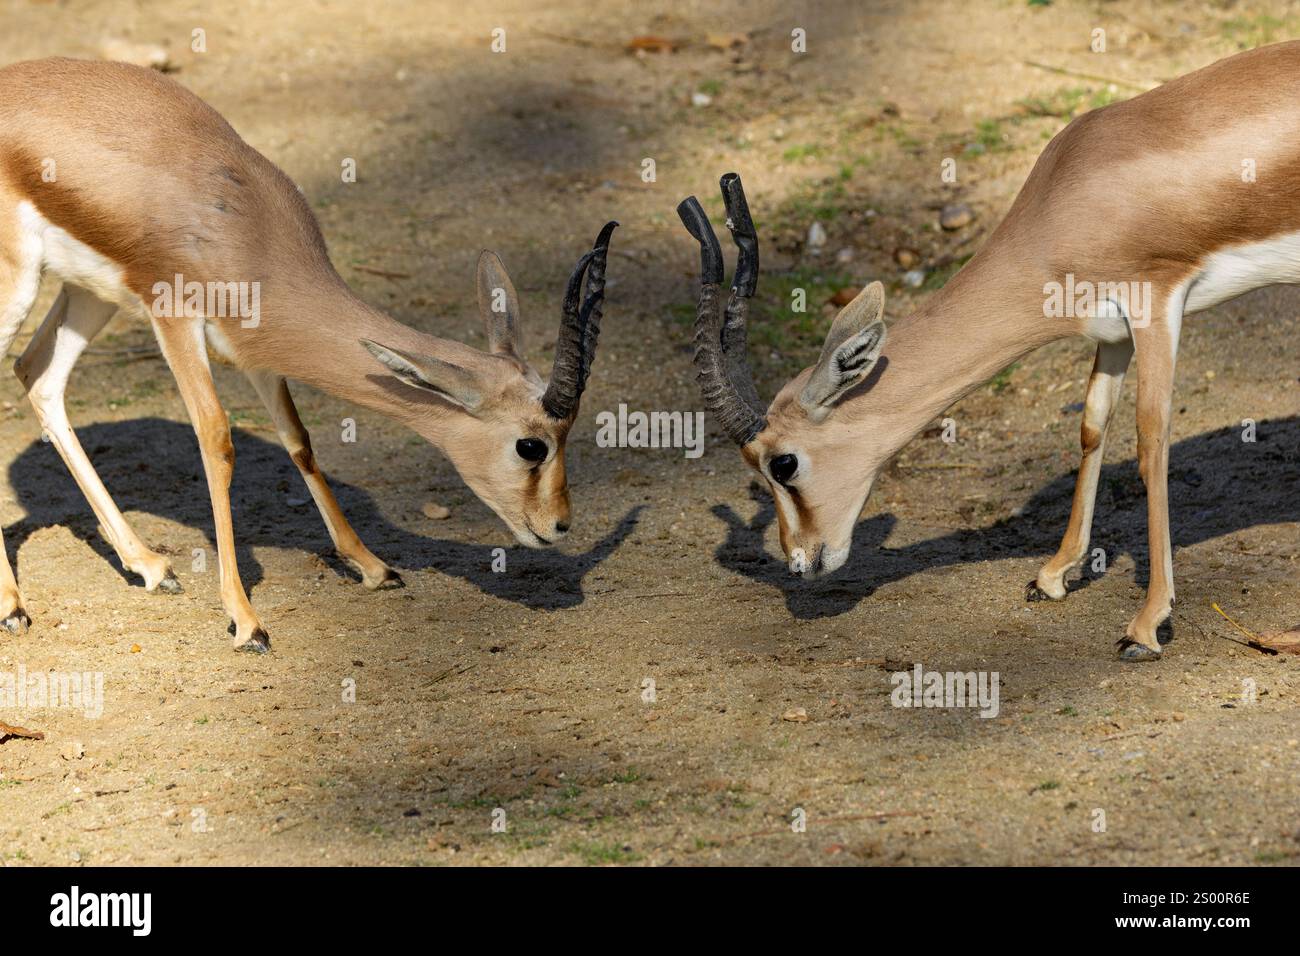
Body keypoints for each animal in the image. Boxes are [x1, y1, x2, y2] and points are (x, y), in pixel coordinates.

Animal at [0, 57, 616, 652]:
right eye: (531, 446)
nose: (558, 525)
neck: (250, 233)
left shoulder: (256, 348)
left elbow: (298, 439)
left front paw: (372, 566)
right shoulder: (173, 317)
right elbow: (217, 439)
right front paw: (246, 621)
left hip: (88, 295)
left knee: (39, 376)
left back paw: (150, 566)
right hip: (21, 285)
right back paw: (15, 607)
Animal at [679, 42, 1300, 661]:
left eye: (783, 463)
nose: (801, 562)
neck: (1066, 204)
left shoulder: (1155, 302)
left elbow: (1151, 441)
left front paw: (1145, 626)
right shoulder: (1113, 332)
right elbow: (1092, 424)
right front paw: (1052, 576)